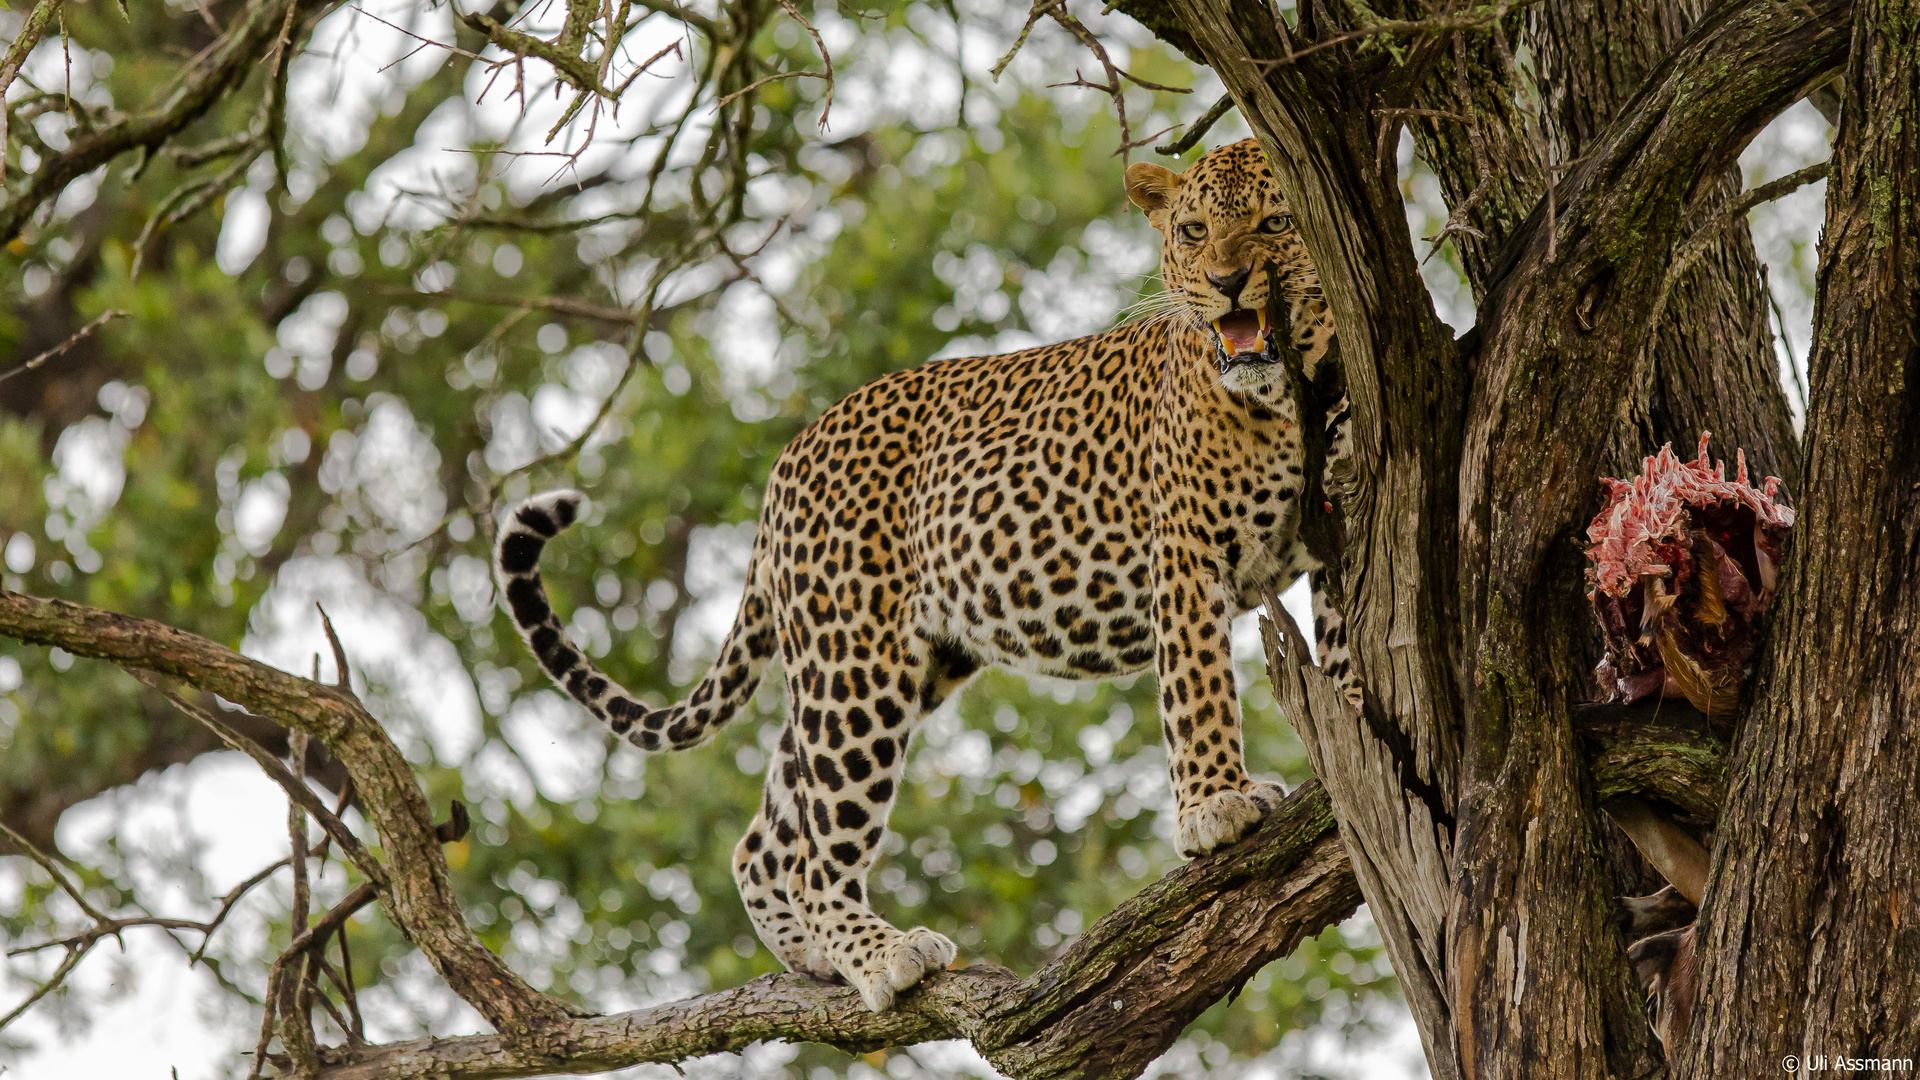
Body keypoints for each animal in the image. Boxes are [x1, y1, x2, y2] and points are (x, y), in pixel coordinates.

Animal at [492, 138, 1362, 1014]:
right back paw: (880, 955)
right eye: (1192, 232)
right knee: (816, 853)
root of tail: (785, 463)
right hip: (854, 666)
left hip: (900, 659)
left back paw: (817, 958)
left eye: (1277, 222)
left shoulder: (1347, 524)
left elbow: (1357, 640)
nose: (1227, 280)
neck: (1291, 393)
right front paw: (1216, 803)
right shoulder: (1184, 547)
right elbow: (1198, 683)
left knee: (766, 837)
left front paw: (1359, 731)